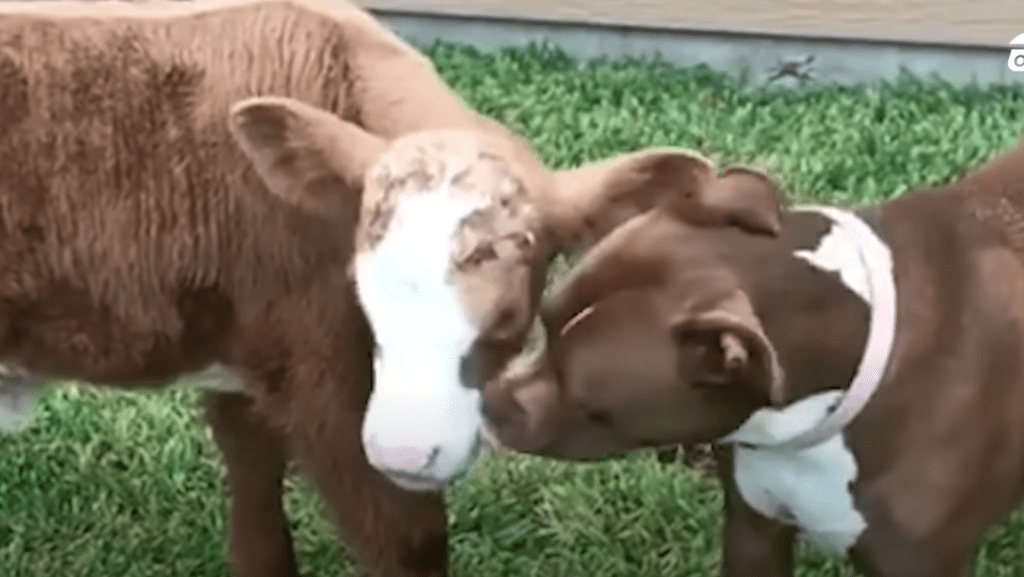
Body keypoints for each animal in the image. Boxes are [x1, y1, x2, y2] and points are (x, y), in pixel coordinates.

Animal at [0, 0, 710, 574]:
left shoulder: (252, 354)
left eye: (509, 322)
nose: (407, 452)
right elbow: (407, 539)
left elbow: (256, 509)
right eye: (367, 306)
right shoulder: (321, 378)